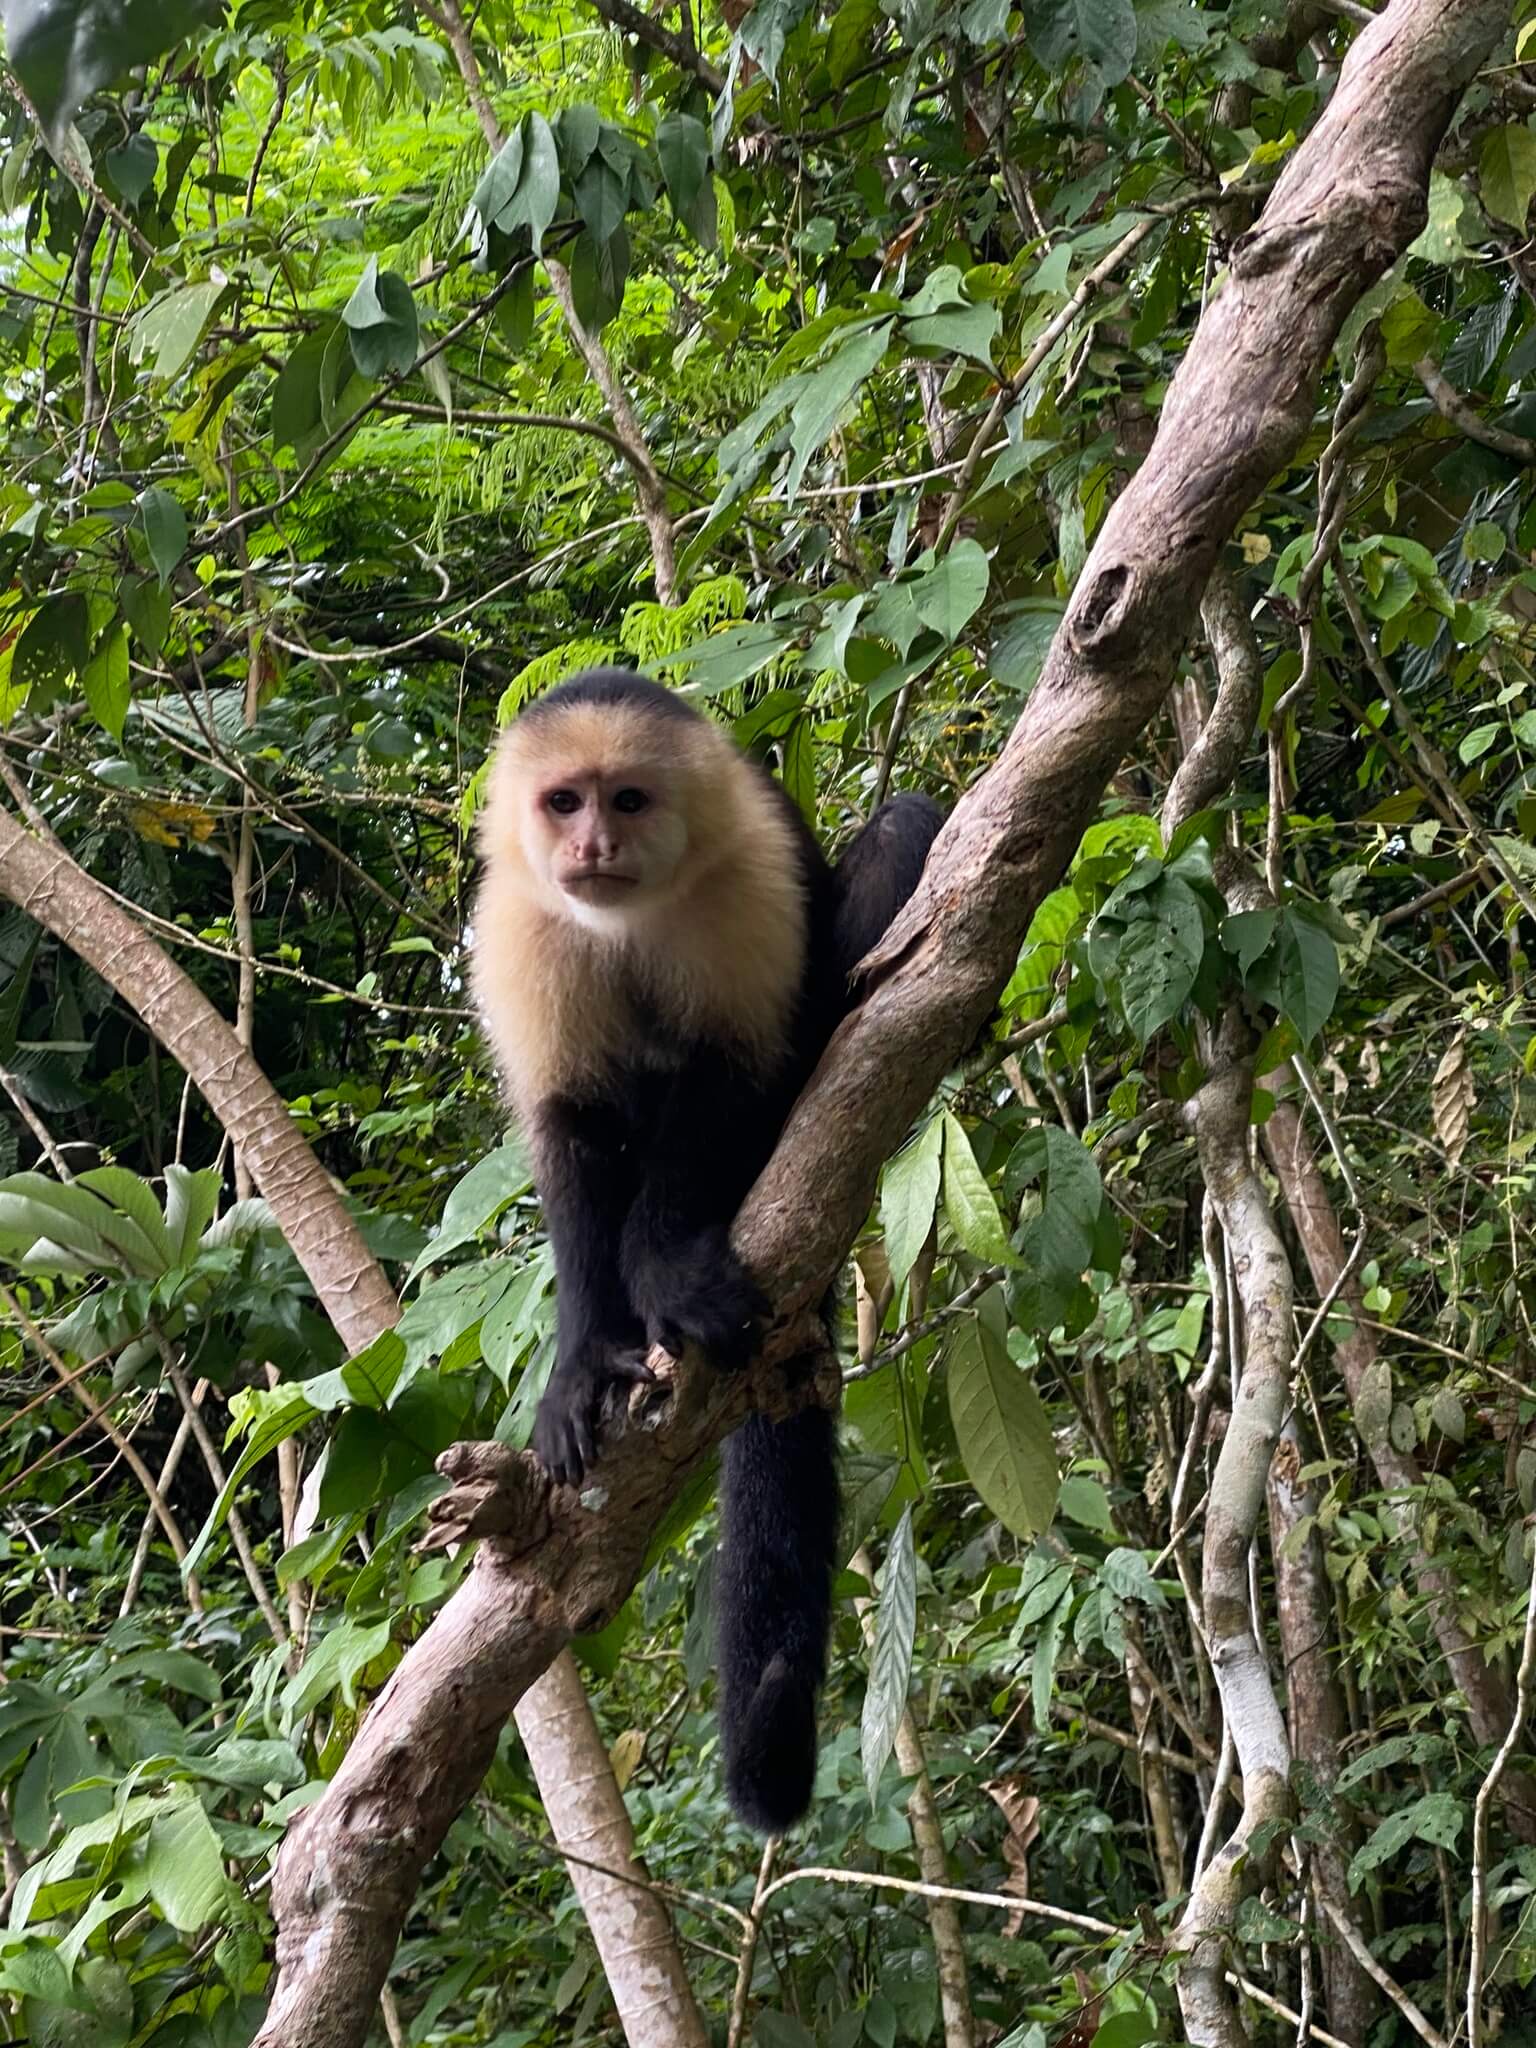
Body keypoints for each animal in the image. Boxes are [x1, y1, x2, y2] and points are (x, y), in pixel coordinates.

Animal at [472, 668, 942, 1831]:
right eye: (563, 801)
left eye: (629, 799)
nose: (593, 843)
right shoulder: (517, 921)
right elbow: (570, 1125)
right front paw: (585, 1358)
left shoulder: (745, 875)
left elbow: (733, 1071)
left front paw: (668, 1270)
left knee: (898, 835)